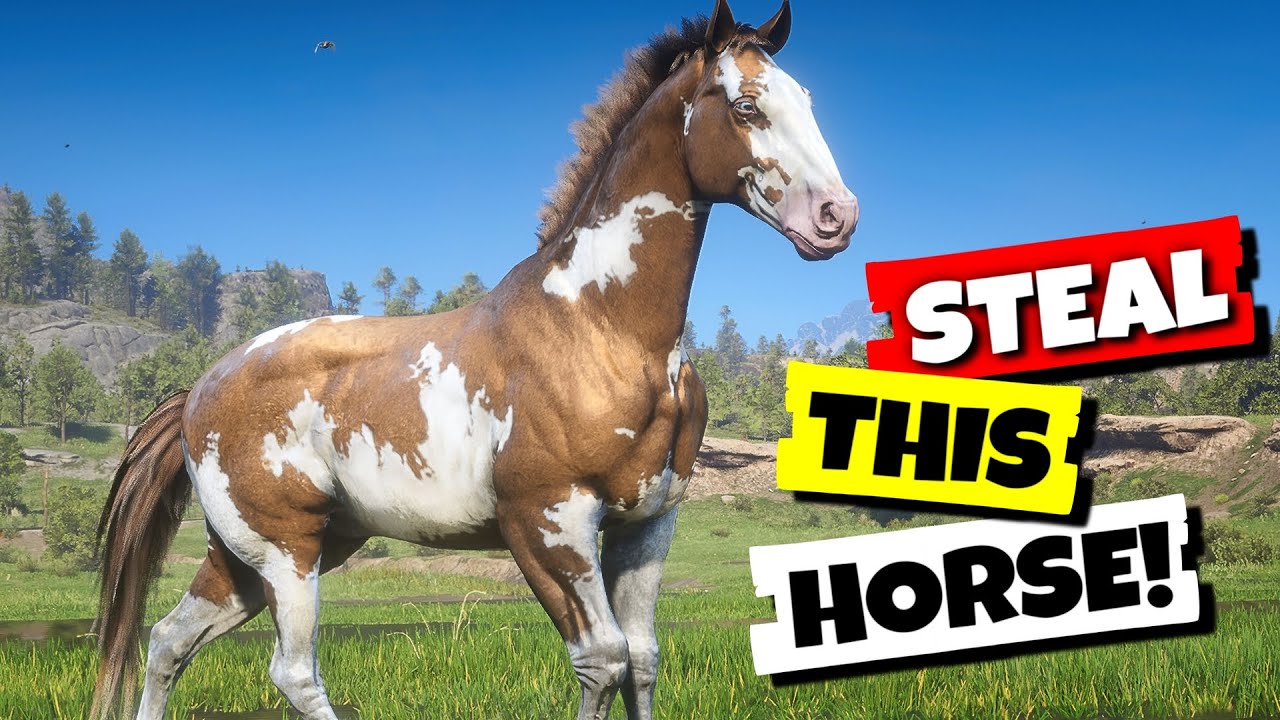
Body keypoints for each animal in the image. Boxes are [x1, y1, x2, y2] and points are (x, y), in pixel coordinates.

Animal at [92, 1, 858, 718]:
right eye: (746, 105)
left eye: (808, 99)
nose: (837, 217)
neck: (600, 329)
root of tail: (197, 390)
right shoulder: (547, 524)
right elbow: (601, 661)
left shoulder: (648, 524)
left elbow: (641, 660)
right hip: (286, 552)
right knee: (292, 672)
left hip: (255, 555)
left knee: (168, 641)